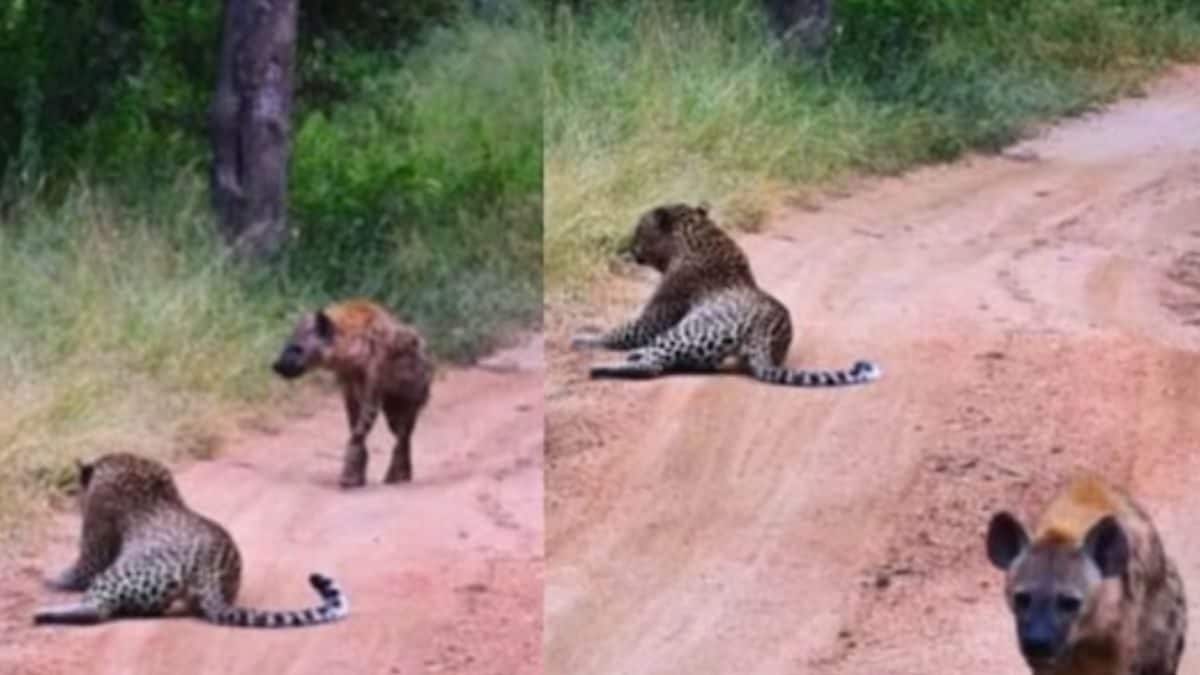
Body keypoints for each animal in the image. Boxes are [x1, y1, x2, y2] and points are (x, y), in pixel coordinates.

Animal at [35, 453, 348, 628]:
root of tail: (213, 575)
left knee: (97, 609)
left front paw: (48, 579)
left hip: (123, 573)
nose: (75, 500)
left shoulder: (95, 549)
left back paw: (45, 613)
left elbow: (79, 570)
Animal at [572, 202, 881, 386]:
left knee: (653, 365)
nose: (628, 247)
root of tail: (771, 333)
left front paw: (581, 336)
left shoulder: (650, 323)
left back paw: (603, 367)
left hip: (686, 332)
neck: (699, 237)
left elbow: (616, 332)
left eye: (639, 229)